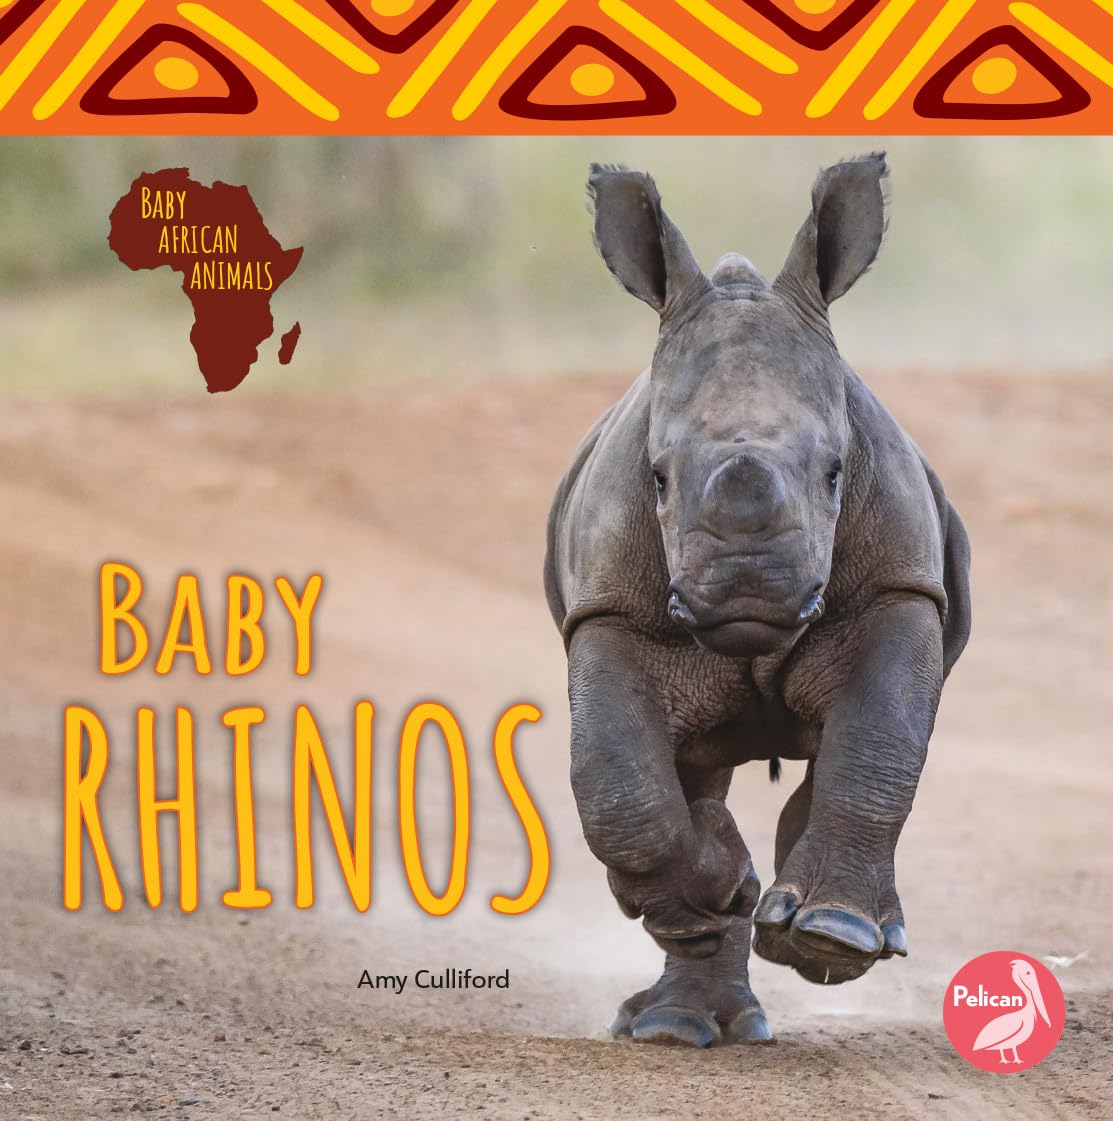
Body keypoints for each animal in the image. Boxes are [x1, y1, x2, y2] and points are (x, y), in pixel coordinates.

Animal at [543, 154, 971, 1047]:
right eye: (657, 477)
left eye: (836, 472)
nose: (751, 586)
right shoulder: (607, 609)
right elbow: (618, 784)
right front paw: (715, 887)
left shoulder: (901, 587)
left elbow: (878, 739)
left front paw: (832, 935)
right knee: (686, 773)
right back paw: (676, 1021)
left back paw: (814, 930)